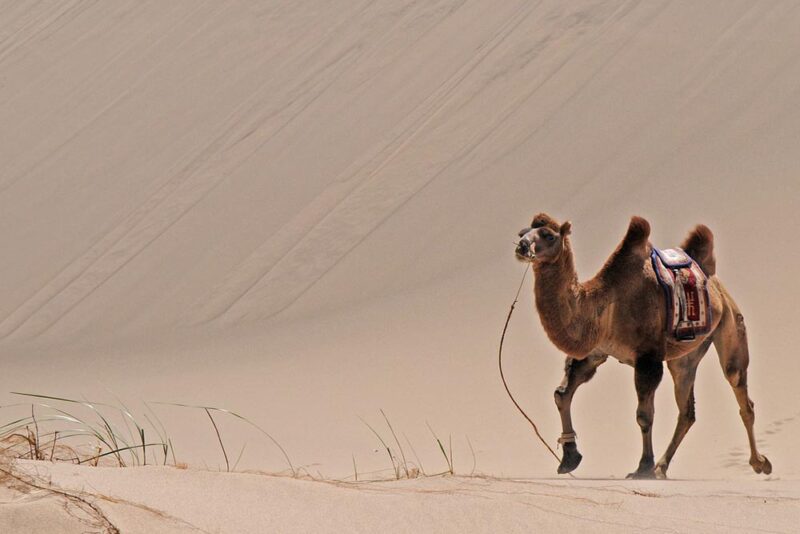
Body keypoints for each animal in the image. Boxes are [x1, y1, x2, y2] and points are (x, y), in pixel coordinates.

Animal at [514, 213, 772, 479]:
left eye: (548, 235)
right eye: (521, 232)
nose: (521, 247)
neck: (607, 303)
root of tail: (717, 285)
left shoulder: (648, 357)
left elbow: (644, 415)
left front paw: (643, 467)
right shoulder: (595, 351)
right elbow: (562, 394)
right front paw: (569, 458)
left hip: (731, 323)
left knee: (739, 388)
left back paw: (759, 462)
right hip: (684, 357)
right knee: (686, 410)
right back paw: (662, 467)